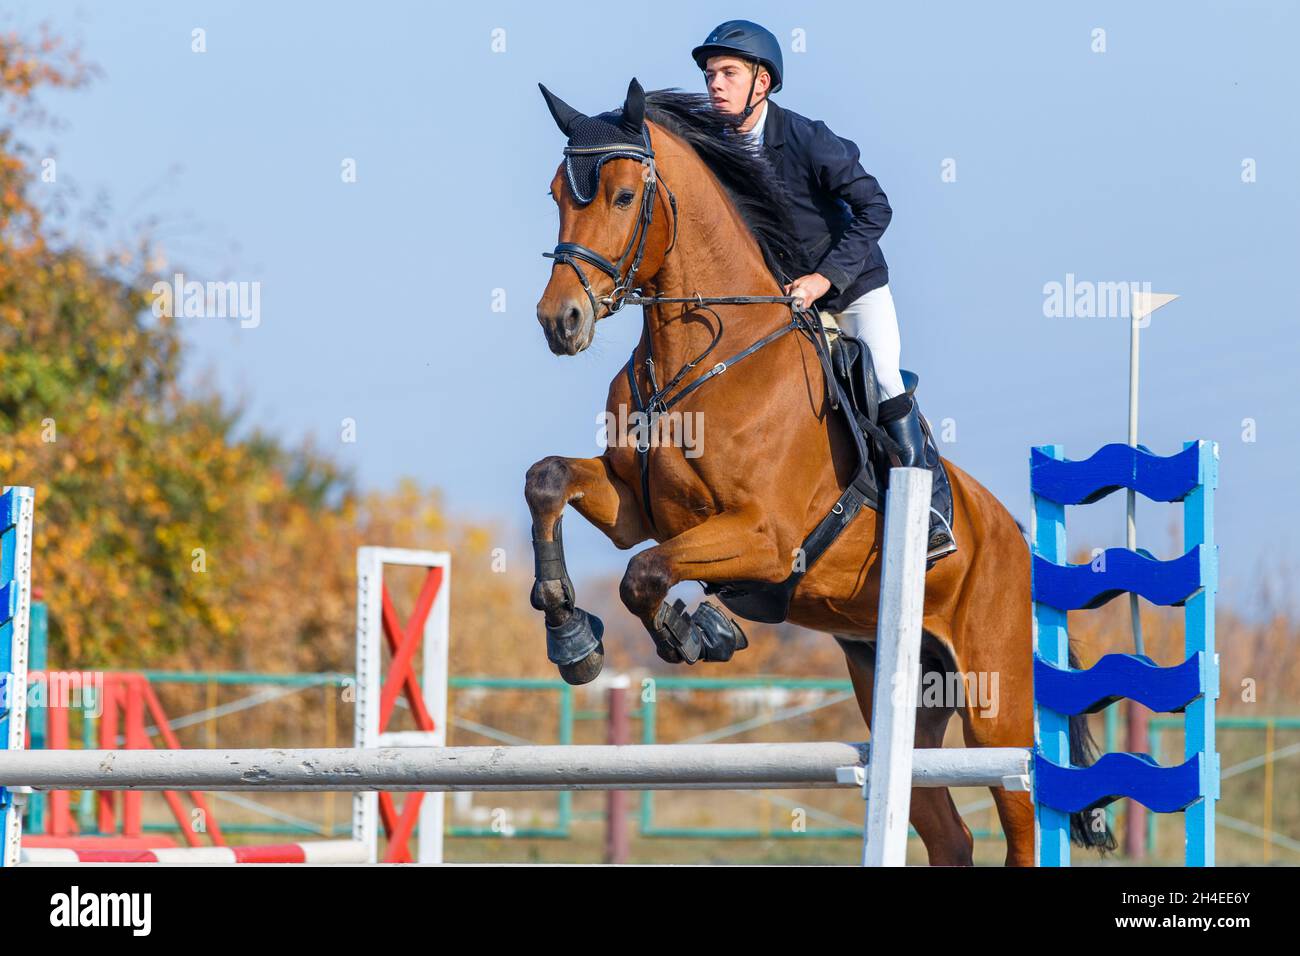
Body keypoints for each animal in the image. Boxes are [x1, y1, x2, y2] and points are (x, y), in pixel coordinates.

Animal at [527, 78, 1104, 866]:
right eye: (558, 193)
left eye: (620, 197)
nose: (561, 321)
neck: (704, 351)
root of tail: (1019, 538)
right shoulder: (634, 507)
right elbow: (549, 482)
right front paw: (571, 635)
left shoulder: (764, 537)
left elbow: (644, 573)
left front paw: (693, 632)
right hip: (902, 691)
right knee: (948, 833)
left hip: (999, 706)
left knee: (1025, 827)